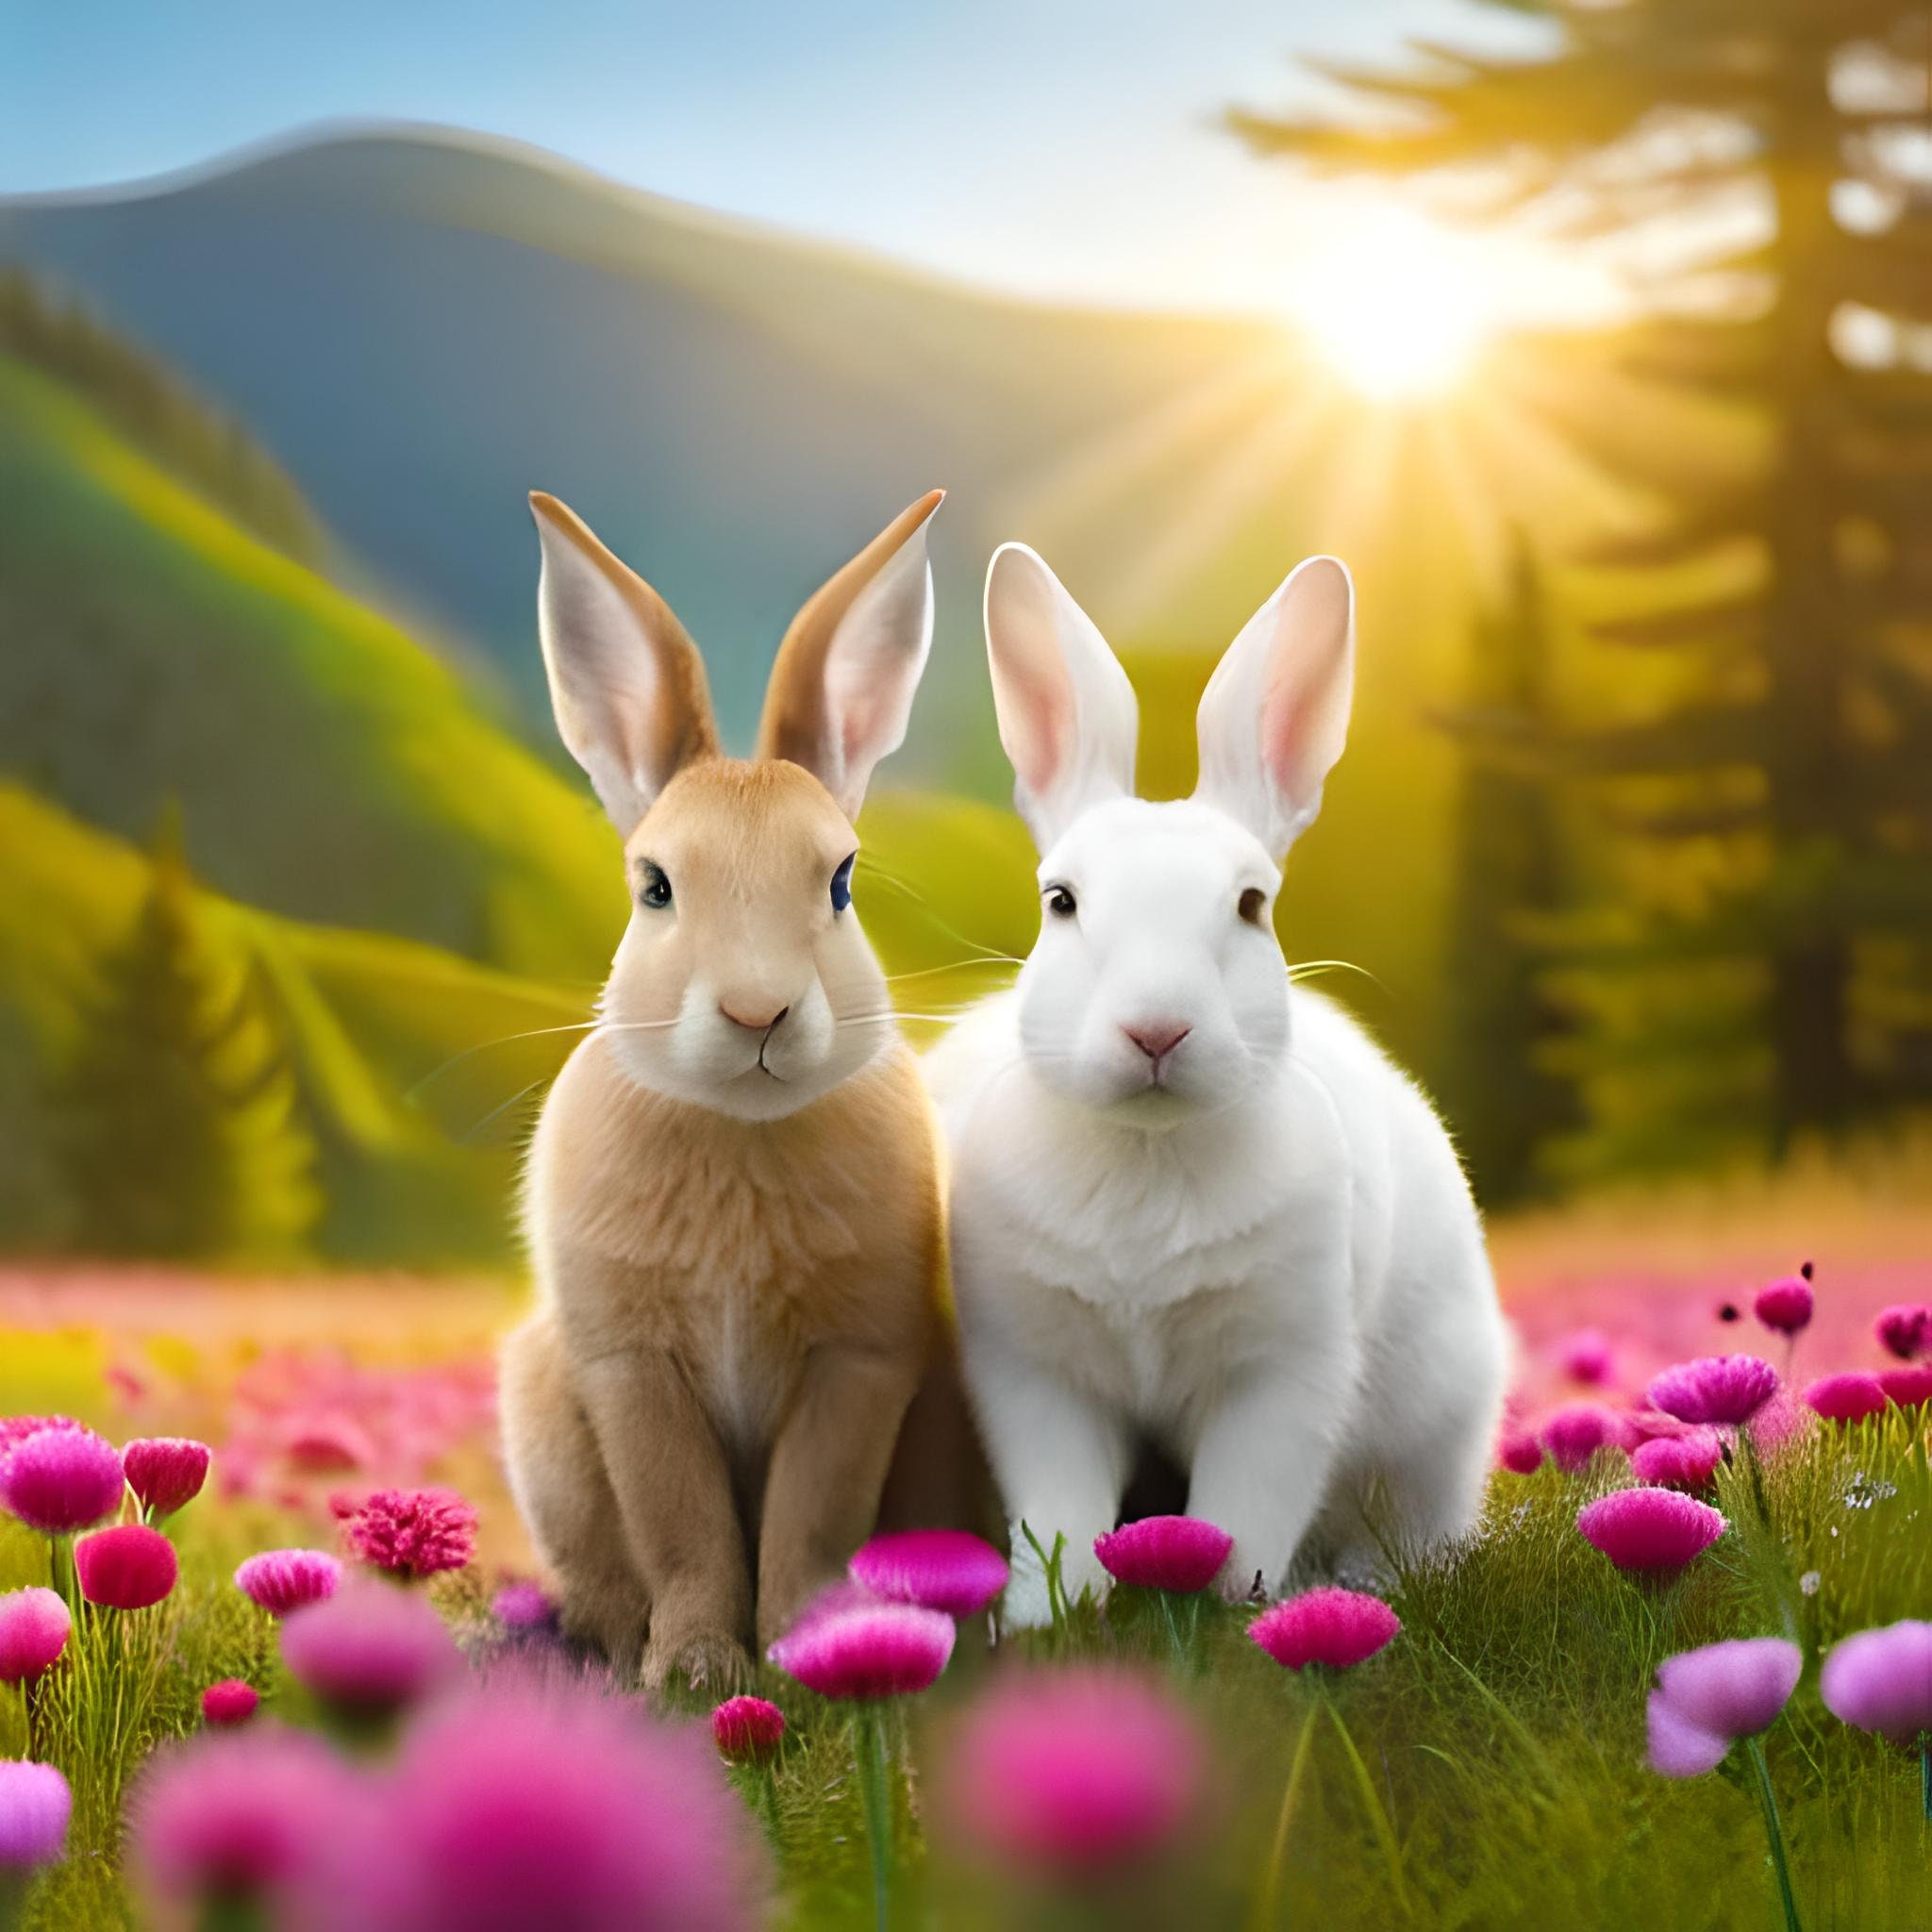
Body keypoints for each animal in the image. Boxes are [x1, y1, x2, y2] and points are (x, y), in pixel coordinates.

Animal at [500, 487, 981, 1693]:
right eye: (654, 886)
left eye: (842, 881)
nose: (759, 1013)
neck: (741, 1129)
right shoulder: (630, 1370)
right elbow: (682, 1525)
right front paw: (698, 1669)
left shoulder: (859, 1363)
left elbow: (811, 1519)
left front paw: (810, 1647)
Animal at [921, 543, 1510, 1626]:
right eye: (1060, 901)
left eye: (1249, 904)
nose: (1157, 1027)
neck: (1149, 1152)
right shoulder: (1034, 1371)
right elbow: (1056, 1506)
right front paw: (1041, 1617)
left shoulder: (1282, 1371)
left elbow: (1246, 1505)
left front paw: (1241, 1609)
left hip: (1439, 1425)